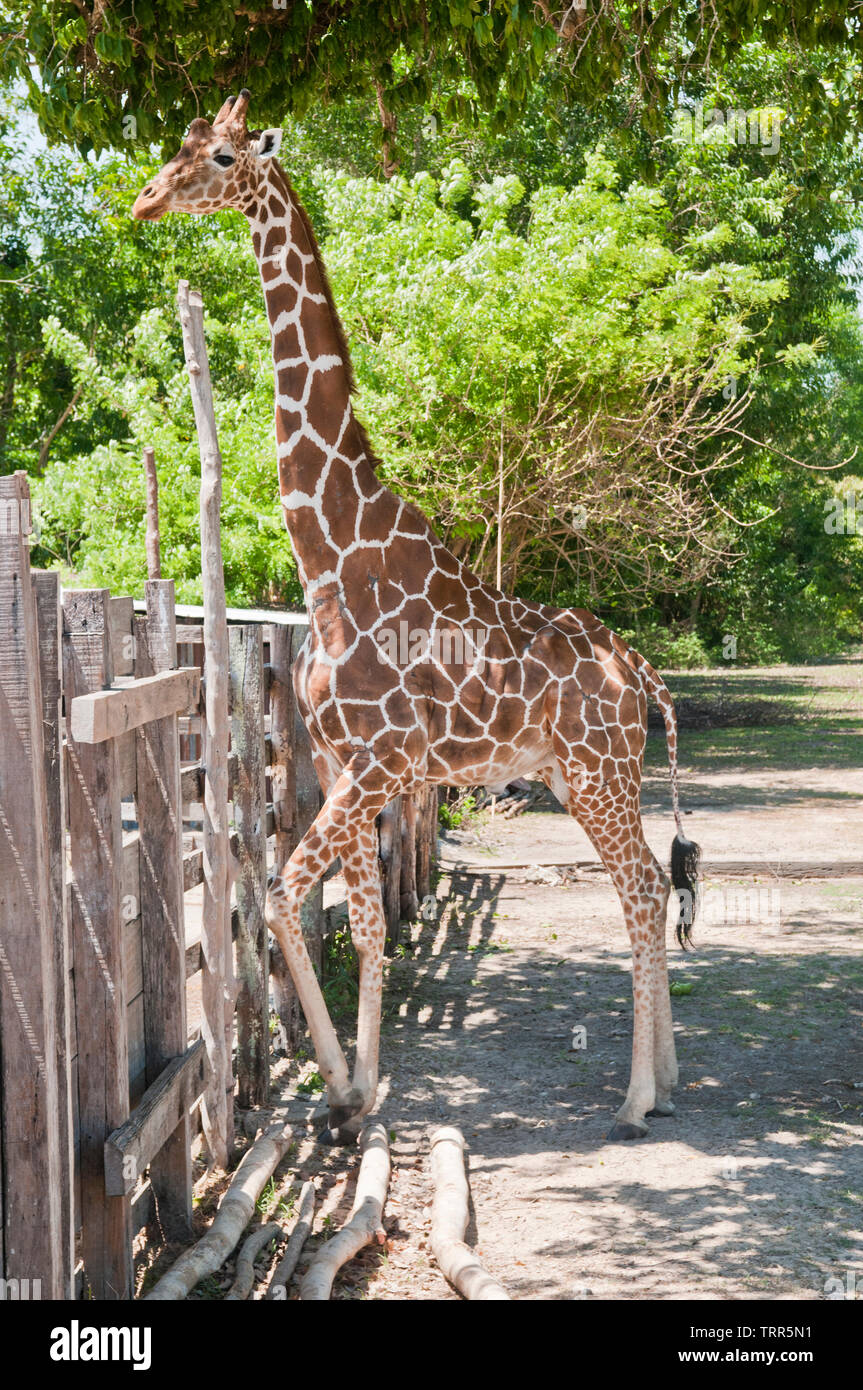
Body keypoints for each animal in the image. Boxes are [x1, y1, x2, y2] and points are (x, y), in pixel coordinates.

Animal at [133, 91, 701, 1145]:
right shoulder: (342, 763)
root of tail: (638, 670)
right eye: (178, 145)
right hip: (582, 774)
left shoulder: (379, 761)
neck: (328, 558)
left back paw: (636, 1099)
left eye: (222, 157)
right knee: (644, 886)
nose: (149, 199)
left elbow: (282, 898)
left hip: (598, 772)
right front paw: (355, 1091)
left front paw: (348, 1091)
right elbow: (355, 922)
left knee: (646, 894)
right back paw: (670, 1081)